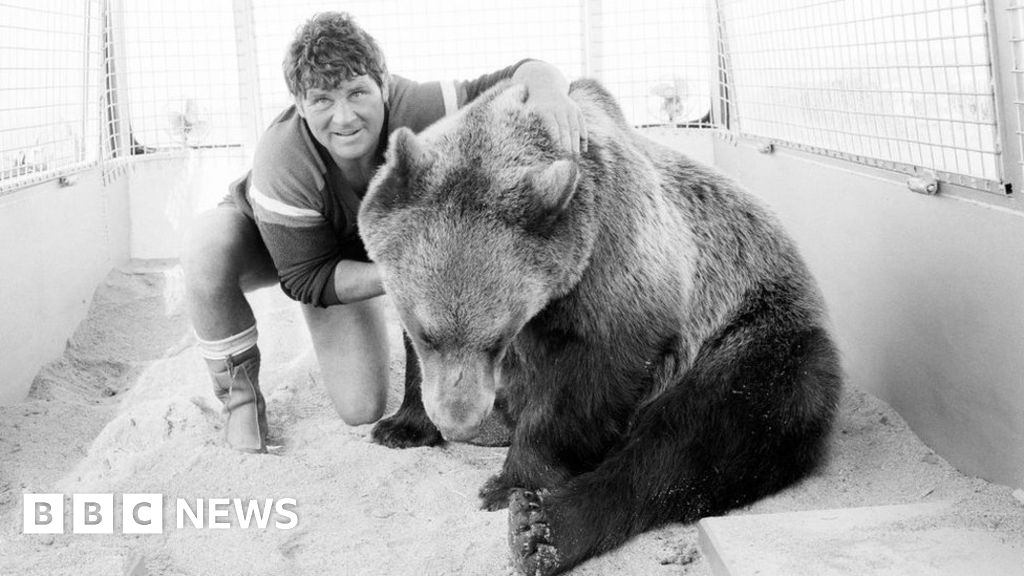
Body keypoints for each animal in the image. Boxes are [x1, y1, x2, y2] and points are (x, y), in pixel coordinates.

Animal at [359, 78, 842, 575]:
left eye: (497, 340)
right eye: (426, 333)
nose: (459, 420)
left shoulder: (617, 266)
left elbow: (586, 385)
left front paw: (513, 482)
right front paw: (401, 426)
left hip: (754, 337)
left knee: (698, 439)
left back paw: (542, 528)